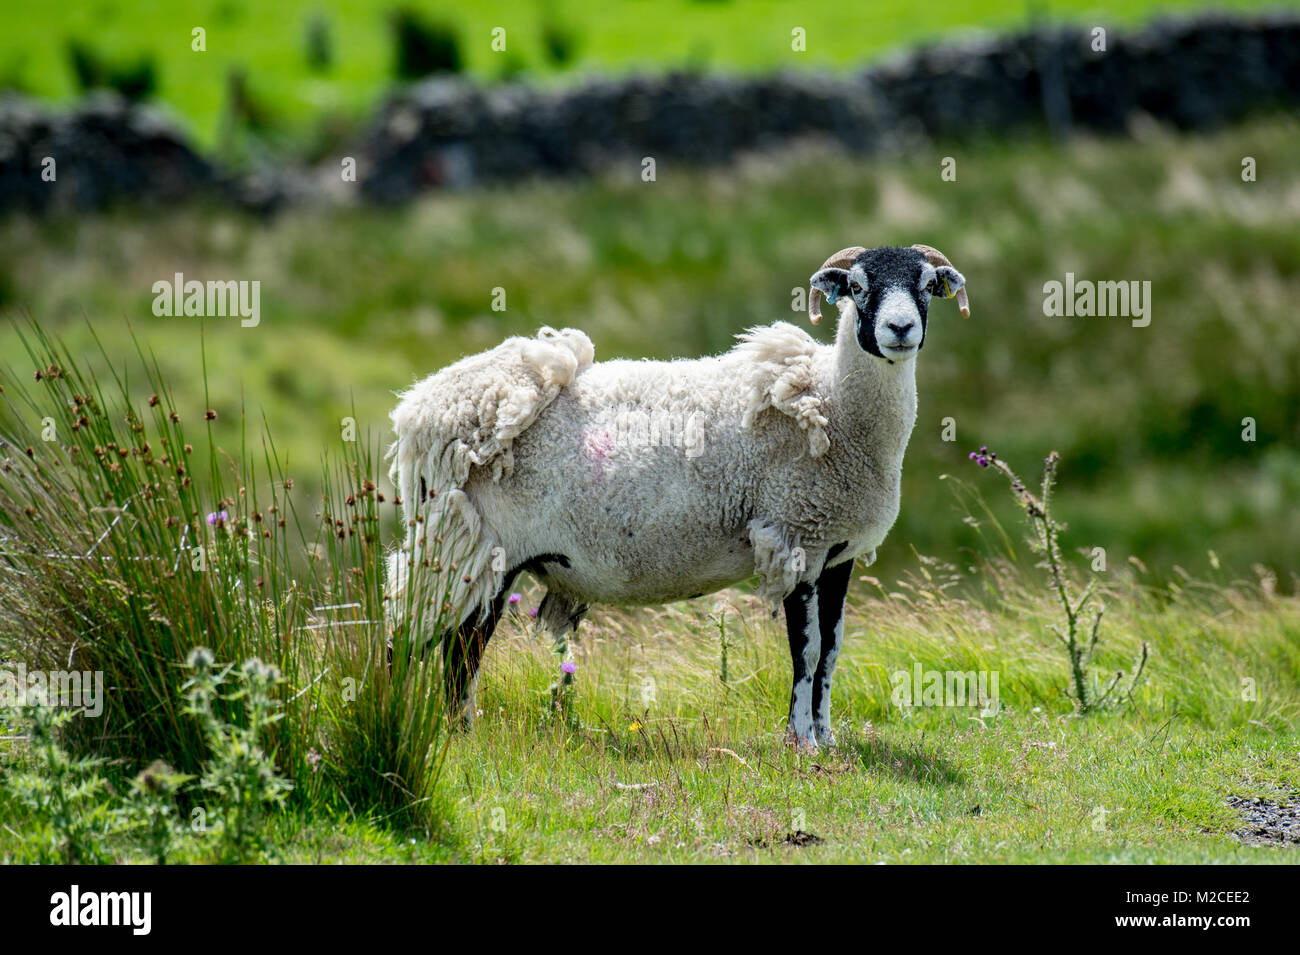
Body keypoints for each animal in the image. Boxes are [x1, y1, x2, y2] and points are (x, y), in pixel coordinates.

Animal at [386, 243, 969, 749]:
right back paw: (402, 723)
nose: (900, 330)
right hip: (459, 541)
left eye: (925, 286)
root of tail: (421, 411)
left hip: (482, 556)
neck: (835, 405)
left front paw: (826, 738)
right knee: (416, 635)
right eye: (858, 286)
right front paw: (801, 742)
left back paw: (459, 732)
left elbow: (830, 648)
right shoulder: (797, 536)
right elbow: (805, 650)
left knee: (462, 646)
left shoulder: (837, 552)